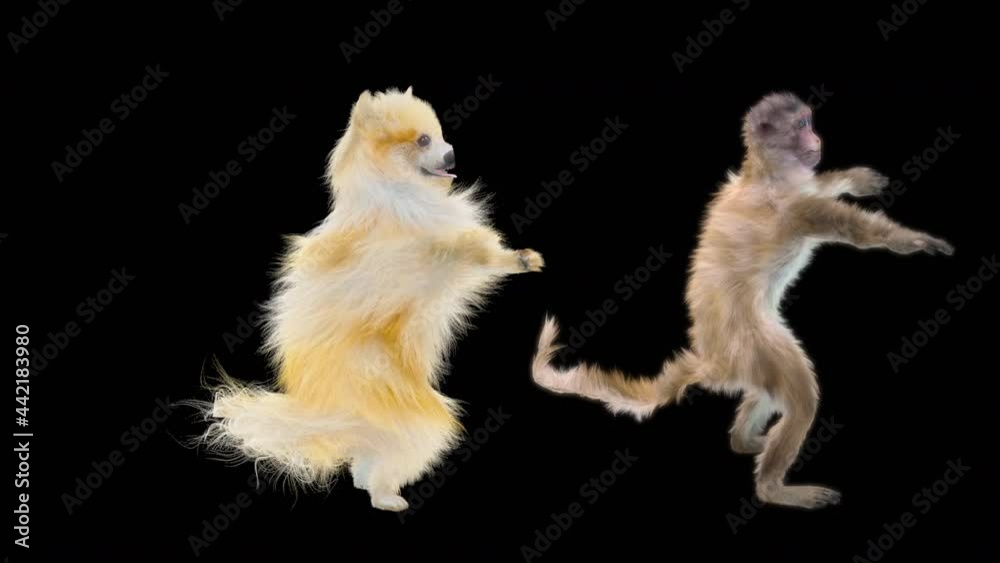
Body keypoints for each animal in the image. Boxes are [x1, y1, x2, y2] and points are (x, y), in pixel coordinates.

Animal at [532, 92, 954, 509]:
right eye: (802, 125)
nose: (816, 139)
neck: (764, 173)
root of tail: (711, 360)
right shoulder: (791, 208)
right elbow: (856, 229)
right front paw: (914, 241)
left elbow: (821, 186)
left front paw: (851, 179)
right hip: (751, 344)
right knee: (799, 395)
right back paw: (773, 489)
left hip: (747, 356)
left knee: (767, 392)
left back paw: (745, 440)